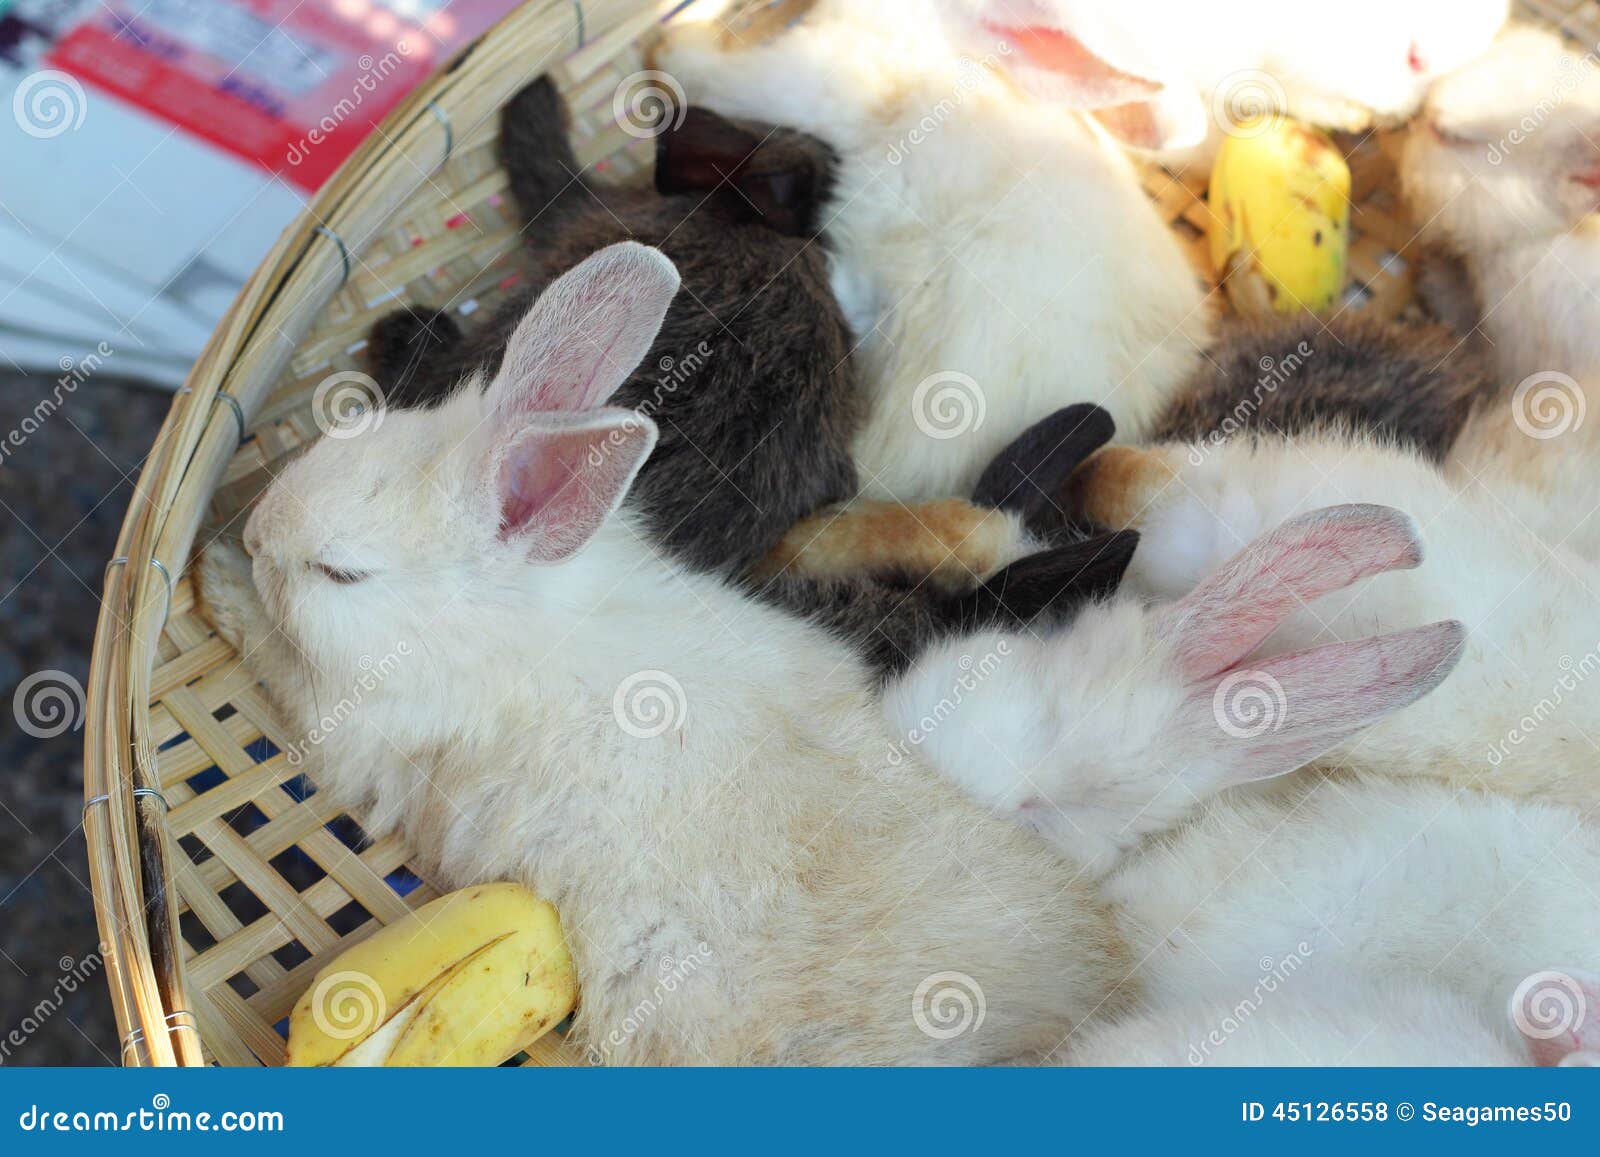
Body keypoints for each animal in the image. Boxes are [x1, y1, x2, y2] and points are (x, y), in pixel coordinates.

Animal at [196, 242, 1460, 1065]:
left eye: (343, 574)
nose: (255, 531)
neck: (512, 620)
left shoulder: (356, 727)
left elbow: (275, 661)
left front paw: (211, 576)